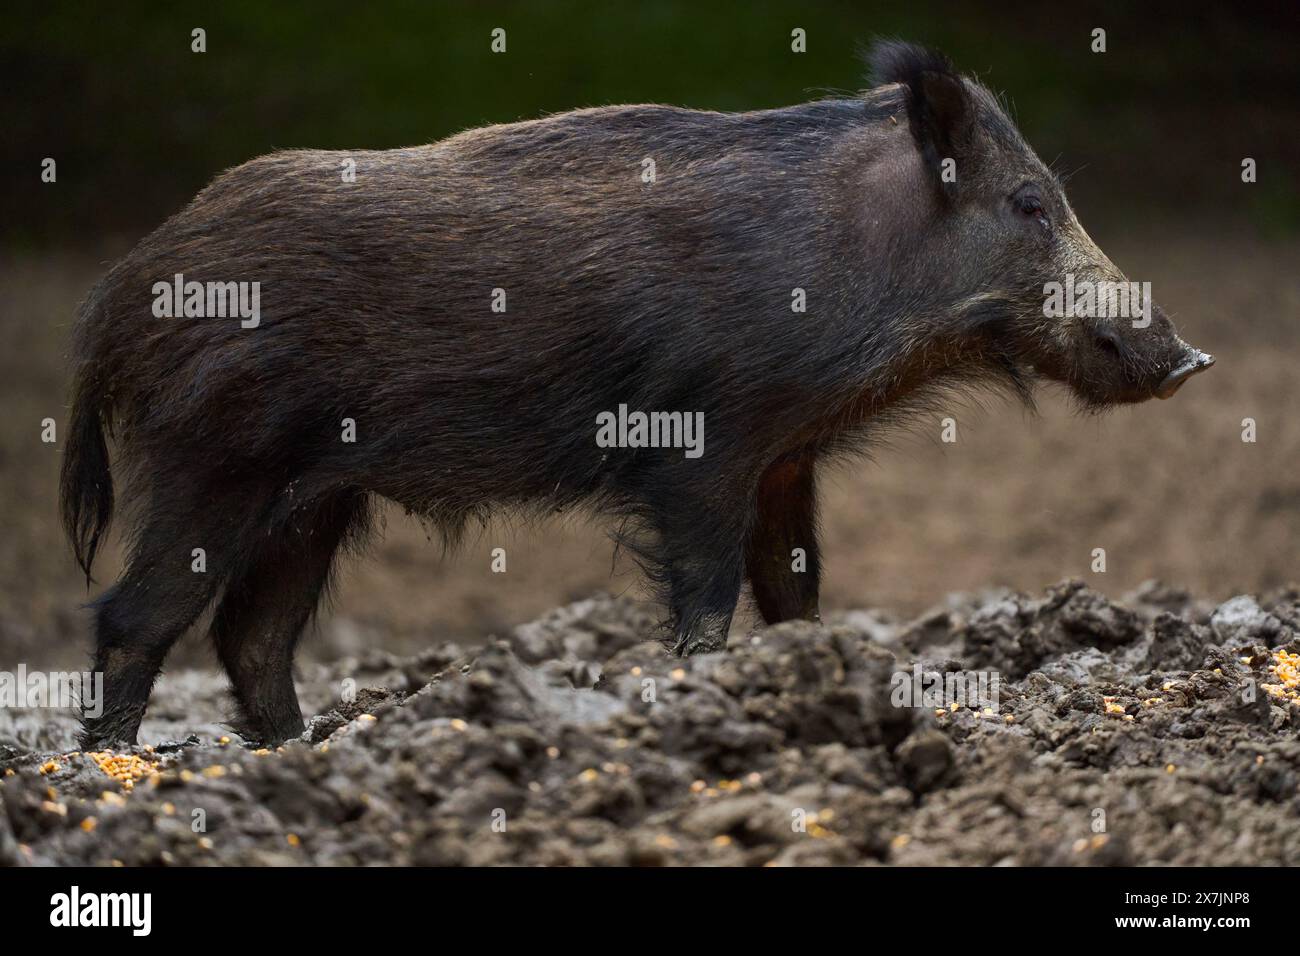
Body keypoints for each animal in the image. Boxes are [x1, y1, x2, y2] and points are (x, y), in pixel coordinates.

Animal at [62, 41, 1213, 747]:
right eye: (1028, 202)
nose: (1187, 357)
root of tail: (116, 298)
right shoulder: (700, 446)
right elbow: (705, 600)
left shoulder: (784, 457)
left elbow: (795, 591)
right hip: (217, 456)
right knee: (136, 614)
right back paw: (125, 769)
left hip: (316, 495)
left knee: (250, 637)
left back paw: (297, 753)